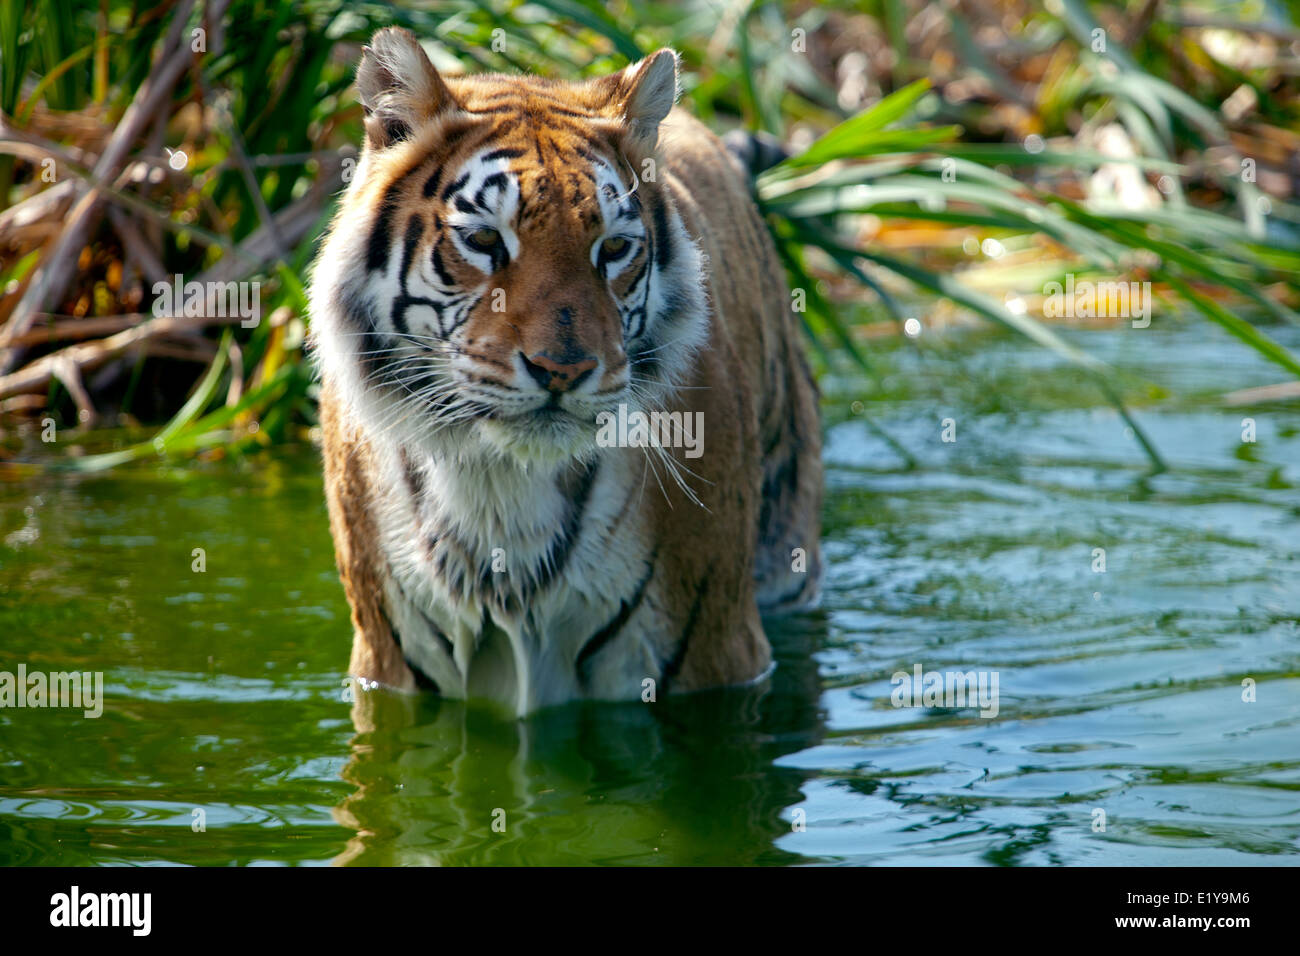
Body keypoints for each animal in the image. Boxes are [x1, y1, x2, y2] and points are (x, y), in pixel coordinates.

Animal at [309, 27, 822, 717]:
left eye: (613, 249)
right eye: (483, 241)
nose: (563, 368)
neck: (499, 487)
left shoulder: (718, 658)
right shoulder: (389, 666)